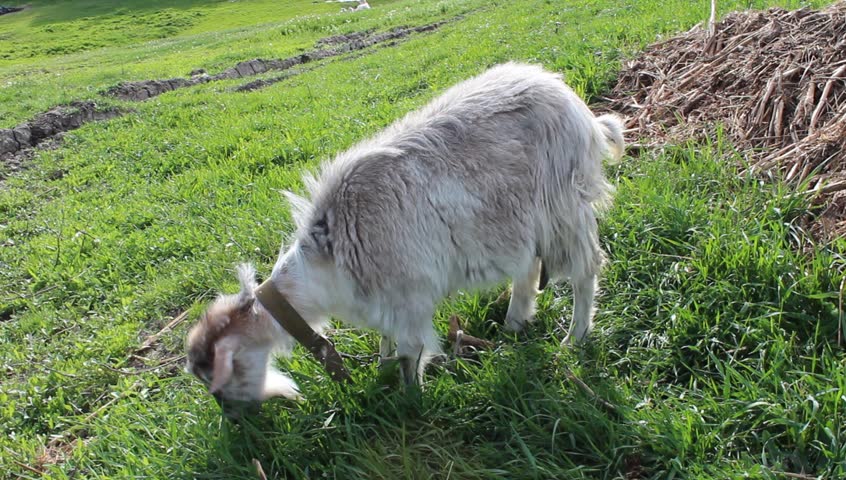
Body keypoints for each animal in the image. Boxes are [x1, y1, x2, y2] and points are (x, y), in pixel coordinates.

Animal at [185, 62, 624, 415]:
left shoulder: (409, 297)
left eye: (217, 377)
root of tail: (577, 106)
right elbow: (386, 343)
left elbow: (409, 353)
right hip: (519, 220)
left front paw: (410, 400)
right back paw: (515, 323)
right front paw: (382, 375)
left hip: (563, 207)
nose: (235, 418)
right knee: (528, 265)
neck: (328, 260)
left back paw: (574, 338)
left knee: (587, 269)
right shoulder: (384, 299)